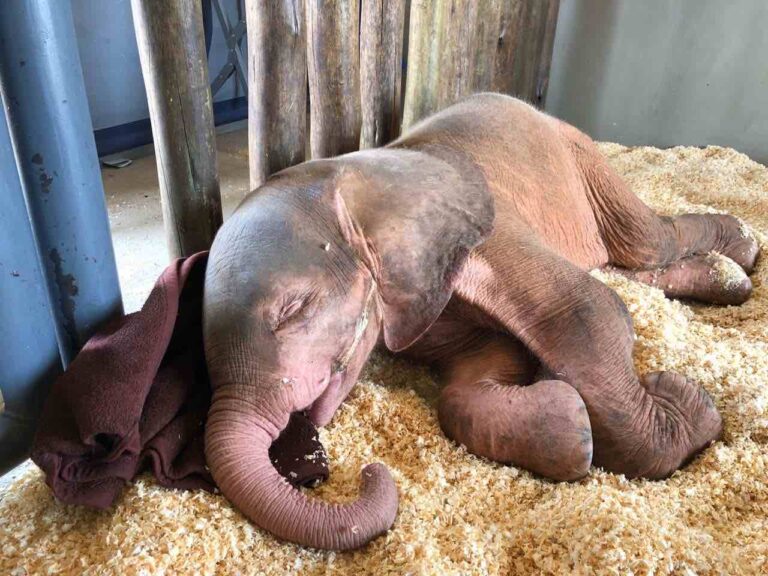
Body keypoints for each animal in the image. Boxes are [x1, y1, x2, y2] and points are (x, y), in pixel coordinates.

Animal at [202, 93, 759, 551]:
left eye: (294, 309)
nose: (367, 472)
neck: (354, 177)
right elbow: (483, 364)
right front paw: (570, 422)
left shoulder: (487, 228)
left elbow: (583, 309)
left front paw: (689, 408)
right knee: (628, 267)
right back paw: (726, 278)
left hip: (579, 155)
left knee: (647, 241)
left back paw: (742, 248)